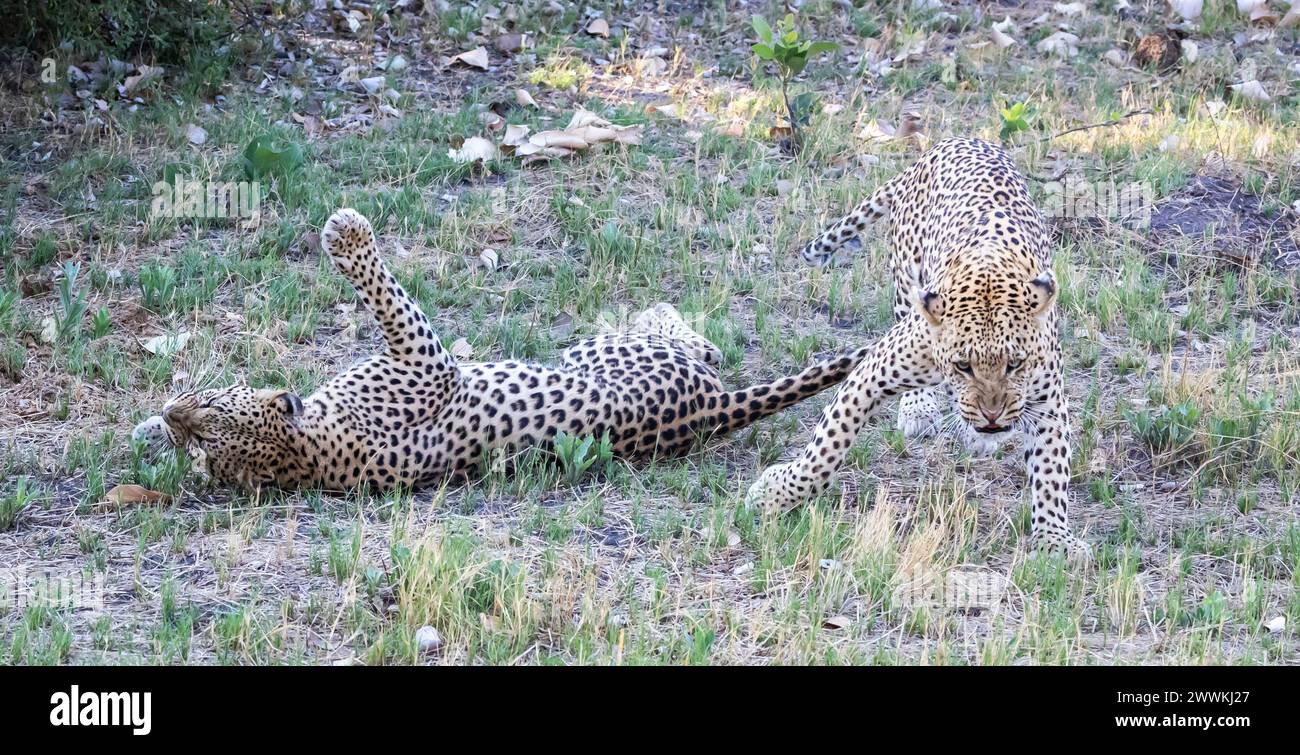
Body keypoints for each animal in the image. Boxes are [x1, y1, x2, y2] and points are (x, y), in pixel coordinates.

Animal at [132, 208, 870, 494]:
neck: (308, 457)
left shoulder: (424, 364)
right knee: (679, 337)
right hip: (597, 354)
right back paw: (673, 322)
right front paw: (348, 234)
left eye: (208, 409)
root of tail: (715, 412)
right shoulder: (425, 363)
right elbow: (389, 296)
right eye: (200, 442)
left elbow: (386, 298)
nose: (173, 414)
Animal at [744, 137, 1089, 557]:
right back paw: (921, 408)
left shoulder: (1047, 400)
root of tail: (949, 142)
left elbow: (1051, 470)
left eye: (1015, 364)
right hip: (906, 281)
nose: (992, 415)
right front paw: (777, 494)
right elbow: (828, 444)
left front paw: (1055, 538)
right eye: (962, 366)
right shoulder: (873, 371)